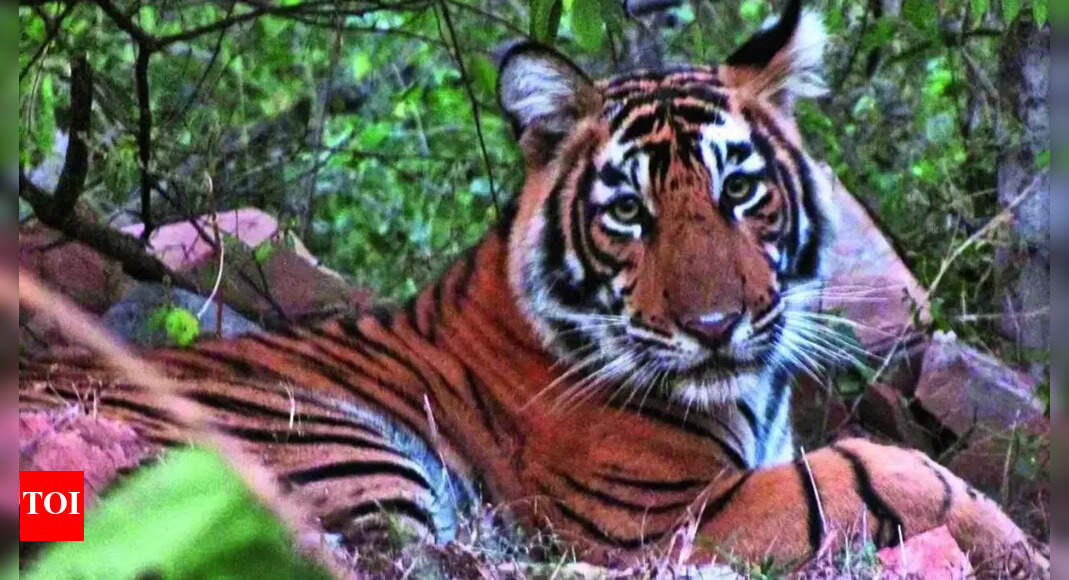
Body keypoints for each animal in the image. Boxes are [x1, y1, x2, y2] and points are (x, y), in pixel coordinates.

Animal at [20, 0, 1048, 576]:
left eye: (739, 192)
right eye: (628, 212)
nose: (715, 327)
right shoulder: (659, 516)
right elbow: (888, 469)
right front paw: (1012, 542)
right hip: (321, 436)